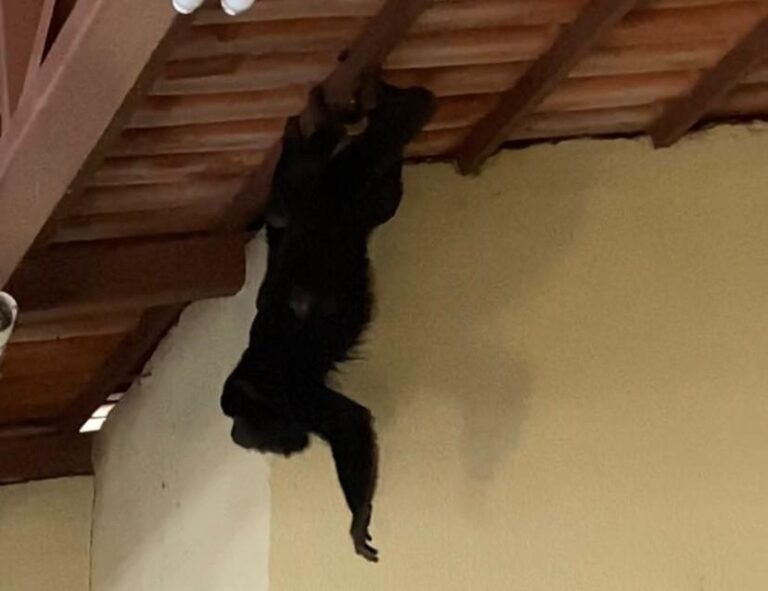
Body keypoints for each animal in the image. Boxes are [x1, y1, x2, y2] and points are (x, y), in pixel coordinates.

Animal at [221, 80, 436, 562]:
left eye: (241, 416)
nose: (235, 434)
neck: (254, 379)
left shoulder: (292, 392)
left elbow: (348, 423)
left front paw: (357, 521)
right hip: (333, 204)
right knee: (358, 196)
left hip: (331, 203)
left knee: (365, 161)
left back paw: (399, 107)